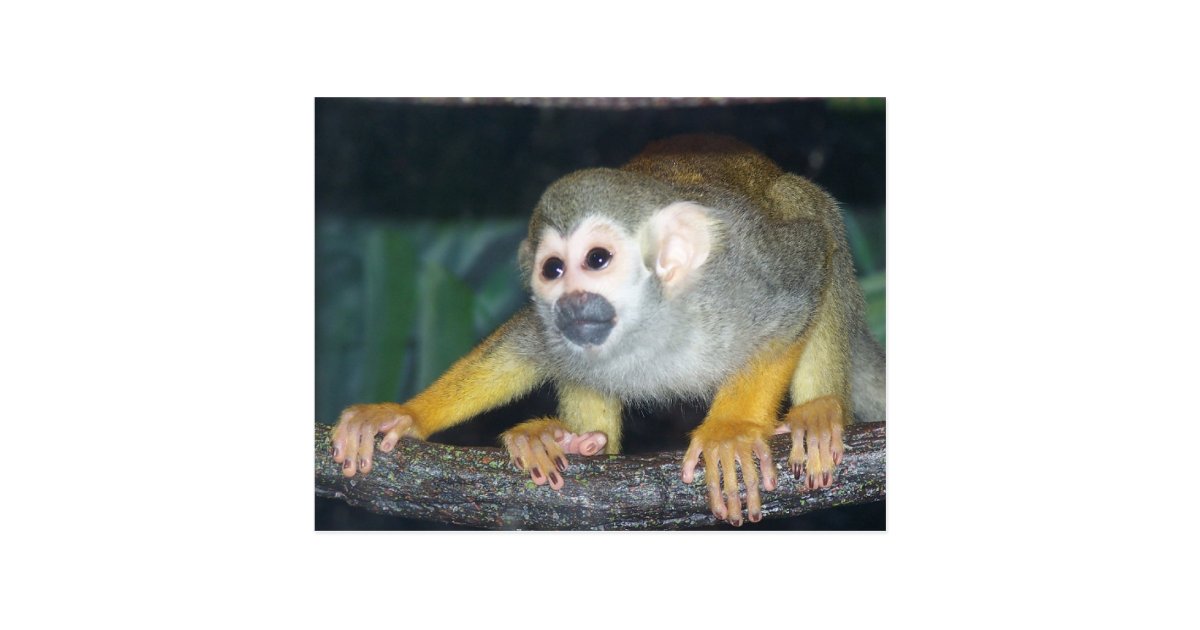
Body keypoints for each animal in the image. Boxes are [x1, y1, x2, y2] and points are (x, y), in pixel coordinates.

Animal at [330, 134, 886, 526]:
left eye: (596, 260)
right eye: (553, 269)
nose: (571, 302)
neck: (650, 317)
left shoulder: (739, 280)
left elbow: (802, 279)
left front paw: (732, 430)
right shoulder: (559, 327)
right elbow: (525, 345)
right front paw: (404, 415)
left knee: (809, 212)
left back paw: (819, 414)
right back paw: (569, 441)